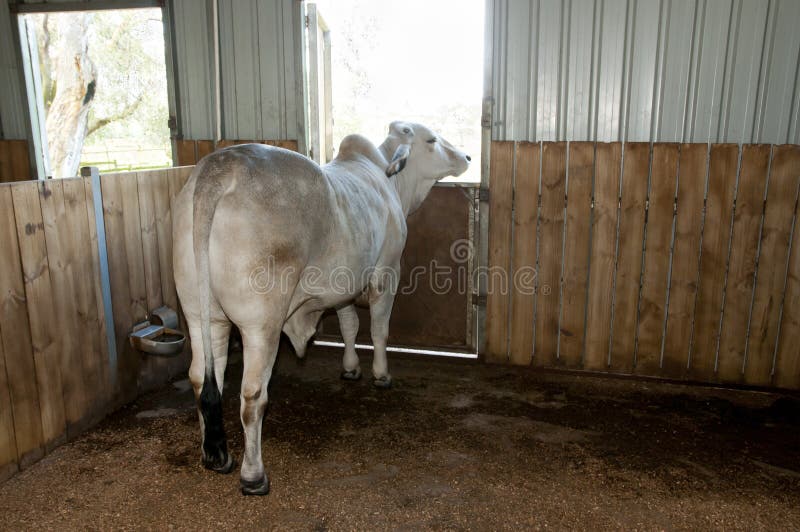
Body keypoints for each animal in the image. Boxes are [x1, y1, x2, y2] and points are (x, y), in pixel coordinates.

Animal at [172, 121, 470, 495]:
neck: (390, 180)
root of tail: (218, 168)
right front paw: (381, 374)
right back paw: (253, 475)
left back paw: (213, 454)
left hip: (202, 315)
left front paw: (351, 368)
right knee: (252, 396)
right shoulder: (386, 273)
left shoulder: (344, 286)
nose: (467, 157)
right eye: (431, 139)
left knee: (202, 379)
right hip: (261, 324)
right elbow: (378, 329)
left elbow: (348, 326)